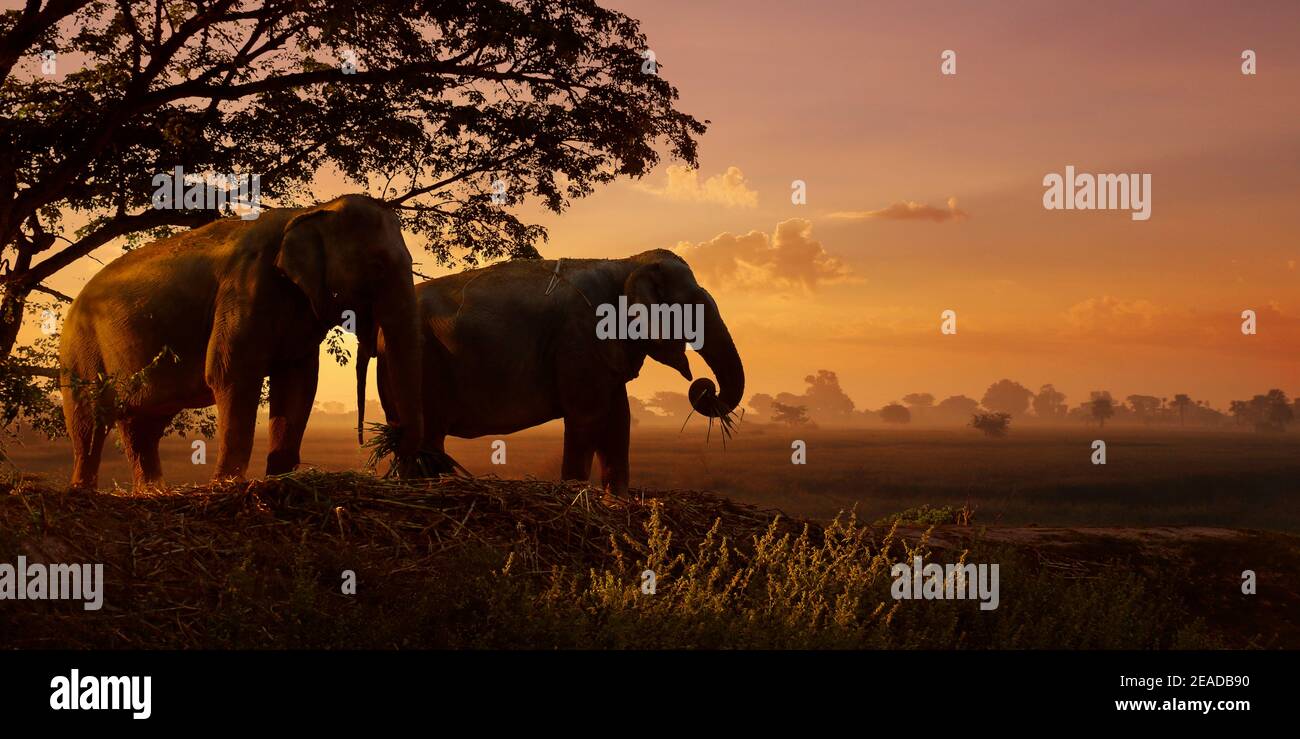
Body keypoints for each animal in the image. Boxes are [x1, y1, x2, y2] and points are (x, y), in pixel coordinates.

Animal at [59, 194, 424, 491]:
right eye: (377, 265)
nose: (404, 468)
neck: (308, 213)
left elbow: (298, 382)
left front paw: (279, 480)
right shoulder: (244, 287)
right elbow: (231, 372)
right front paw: (228, 484)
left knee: (142, 423)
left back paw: (151, 491)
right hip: (80, 349)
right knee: (90, 418)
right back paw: (82, 491)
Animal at [365, 249, 744, 495]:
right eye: (692, 311)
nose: (705, 387)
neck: (628, 263)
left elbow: (618, 419)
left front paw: (617, 500)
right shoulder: (580, 337)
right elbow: (587, 418)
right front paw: (576, 494)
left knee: (410, 436)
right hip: (421, 361)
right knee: (427, 436)